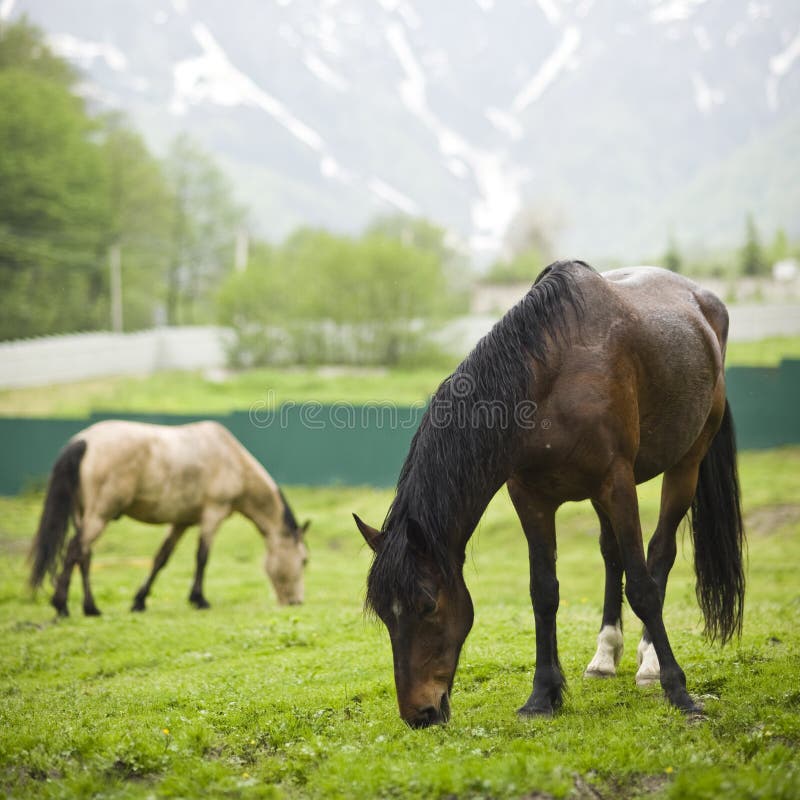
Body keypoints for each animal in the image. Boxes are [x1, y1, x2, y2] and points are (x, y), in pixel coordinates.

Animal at [29, 420, 309, 616]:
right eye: (304, 561)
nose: (297, 602)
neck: (232, 460)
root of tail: (83, 441)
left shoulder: (181, 522)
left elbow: (161, 559)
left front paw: (140, 601)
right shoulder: (213, 514)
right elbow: (202, 557)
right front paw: (199, 599)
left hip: (84, 515)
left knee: (84, 556)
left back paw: (91, 608)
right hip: (99, 516)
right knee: (74, 550)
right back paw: (62, 606)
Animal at [354, 260, 745, 728]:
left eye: (428, 605)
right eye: (384, 613)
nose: (420, 714)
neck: (550, 380)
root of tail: (706, 303)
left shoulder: (617, 483)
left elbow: (643, 589)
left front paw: (679, 691)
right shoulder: (531, 497)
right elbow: (543, 591)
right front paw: (543, 695)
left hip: (685, 464)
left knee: (660, 553)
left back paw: (649, 663)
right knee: (611, 554)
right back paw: (605, 655)